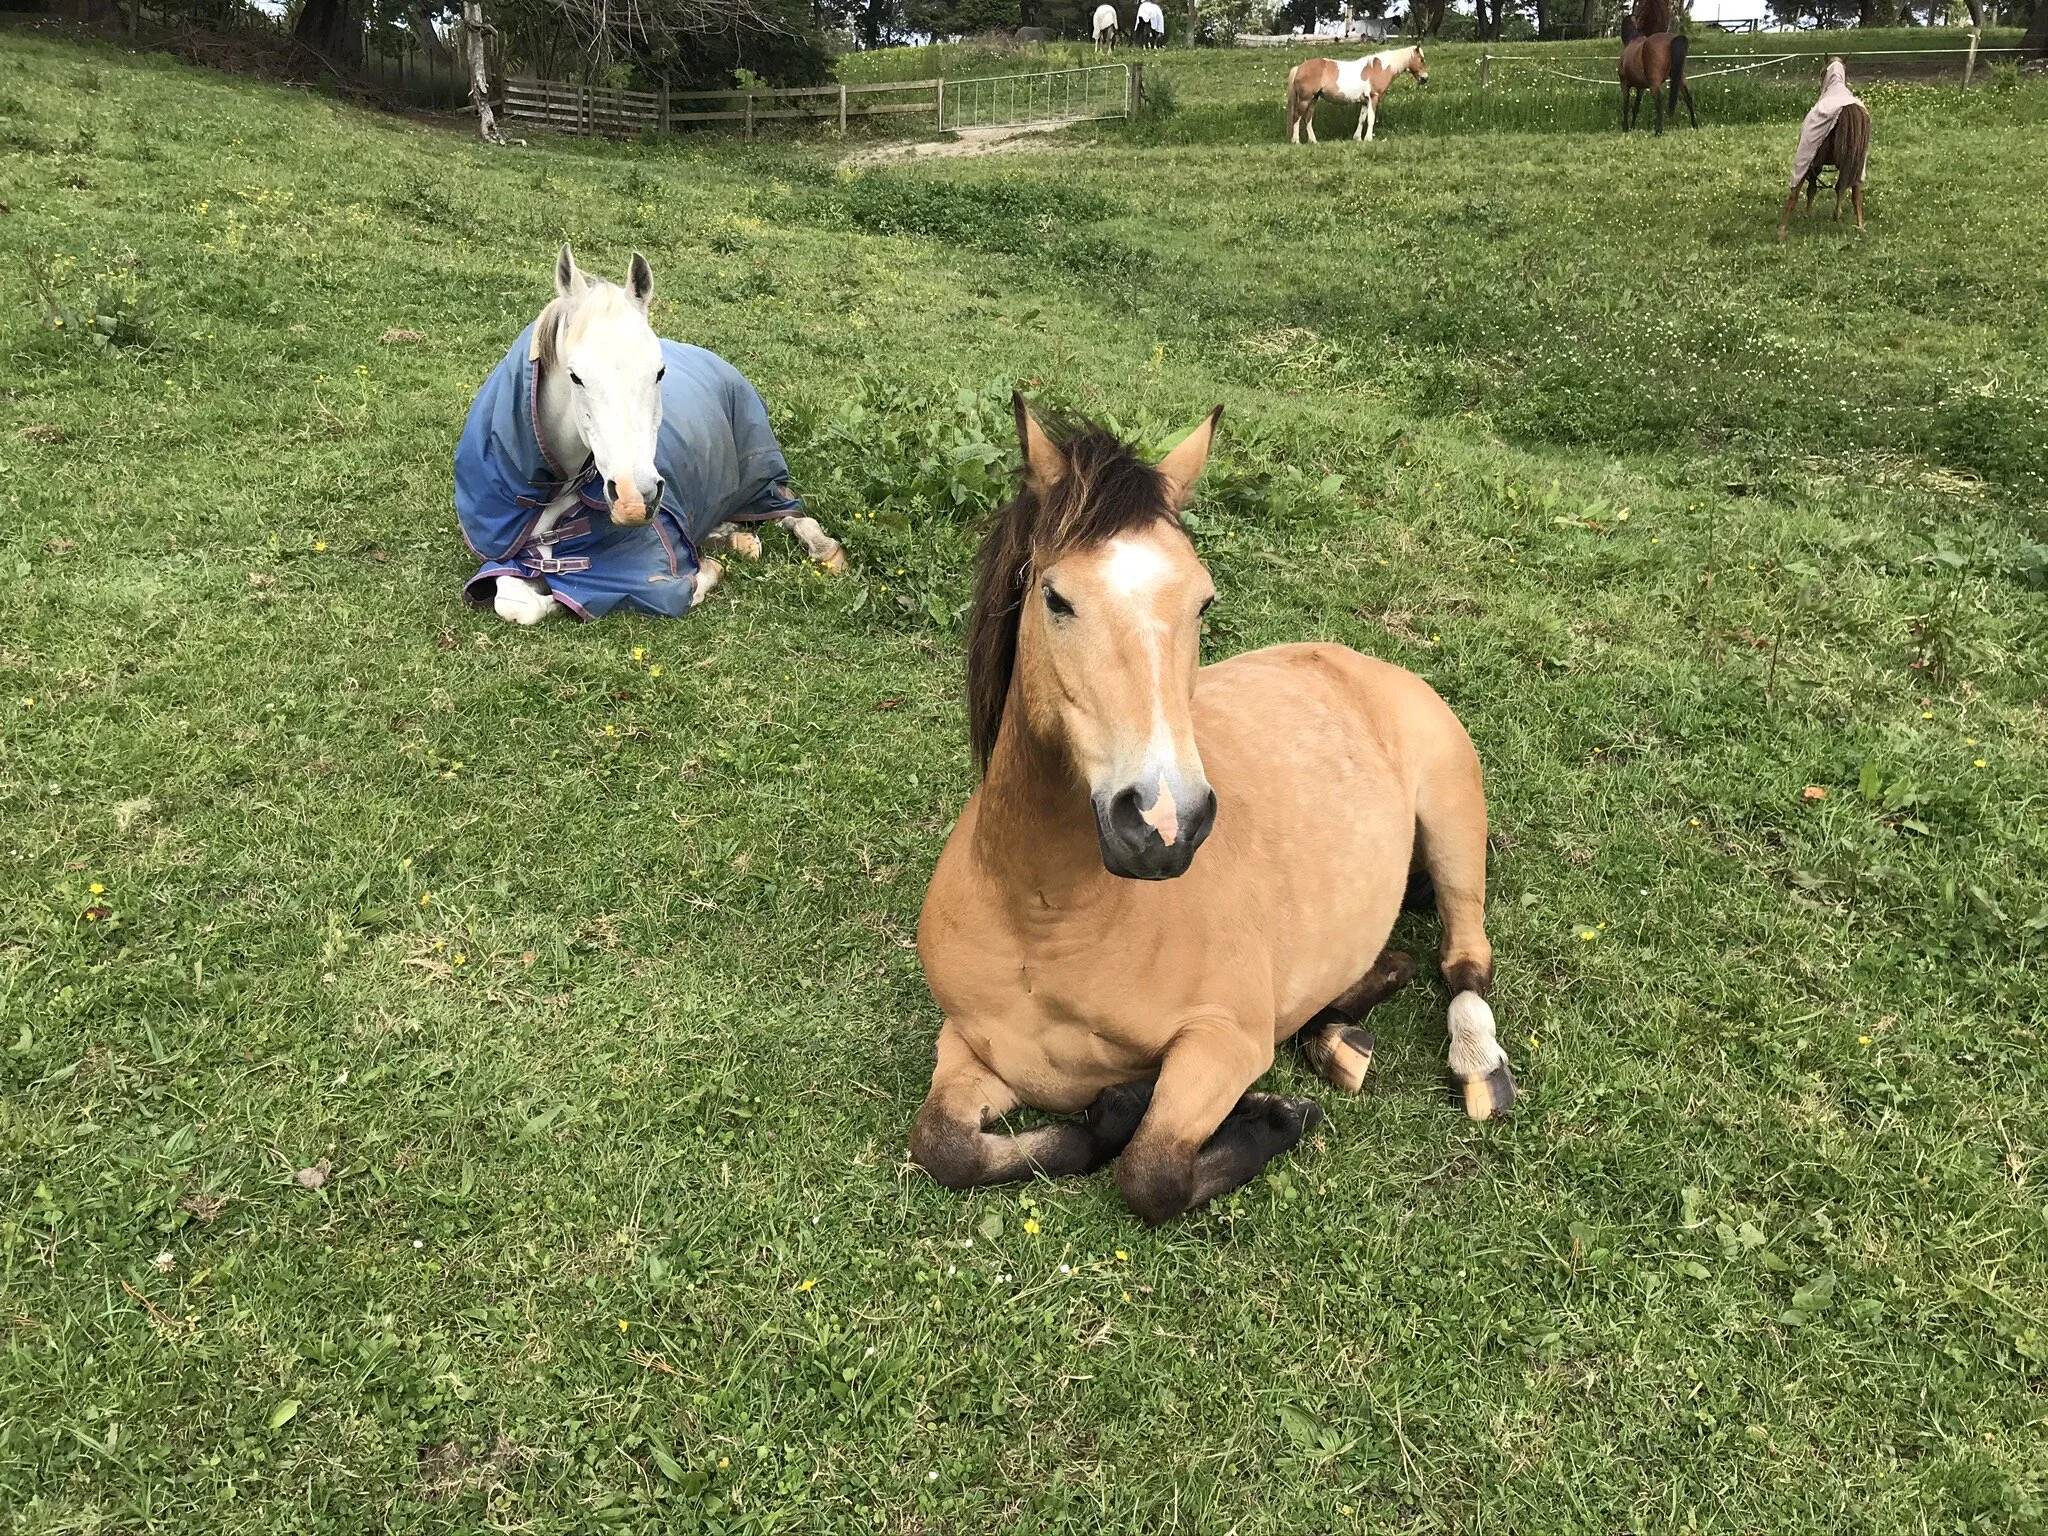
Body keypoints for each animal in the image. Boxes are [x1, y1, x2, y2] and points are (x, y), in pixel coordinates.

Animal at [454, 247, 846, 626]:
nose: (635, 498)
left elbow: (686, 583)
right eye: (575, 376)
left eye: (659, 371)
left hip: (762, 479)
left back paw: (823, 549)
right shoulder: (516, 556)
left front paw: (706, 569)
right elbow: (514, 602)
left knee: (790, 511)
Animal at [909, 399, 1515, 1224]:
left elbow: (1152, 1172)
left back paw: (1478, 1067)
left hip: (1455, 825)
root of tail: (1363, 664)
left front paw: (1273, 1117)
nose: (1164, 825)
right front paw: (1114, 1110)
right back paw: (1334, 1040)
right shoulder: (970, 1045)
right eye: (1056, 599)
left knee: (1463, 960)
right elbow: (942, 1145)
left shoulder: (1221, 1043)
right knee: (1392, 962)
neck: (1047, 920)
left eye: (1204, 600)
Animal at [1286, 45, 1429, 145]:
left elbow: (1361, 119)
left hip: (1313, 99)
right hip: (1305, 99)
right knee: (1297, 117)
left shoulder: (1365, 101)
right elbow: (1371, 119)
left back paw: (1313, 141)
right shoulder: (1373, 98)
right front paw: (1368, 138)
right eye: (1421, 60)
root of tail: (1298, 68)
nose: (1425, 78)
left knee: (1307, 118)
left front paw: (1358, 138)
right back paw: (1296, 140)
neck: (1380, 68)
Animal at [1779, 58, 1869, 240]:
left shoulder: (1815, 163)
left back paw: (1782, 231)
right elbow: (1840, 188)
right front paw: (1837, 214)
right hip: (1857, 164)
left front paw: (1807, 215)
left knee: (1794, 193)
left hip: (1806, 159)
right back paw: (1860, 227)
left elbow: (1811, 189)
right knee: (1855, 193)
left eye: (1821, 71)